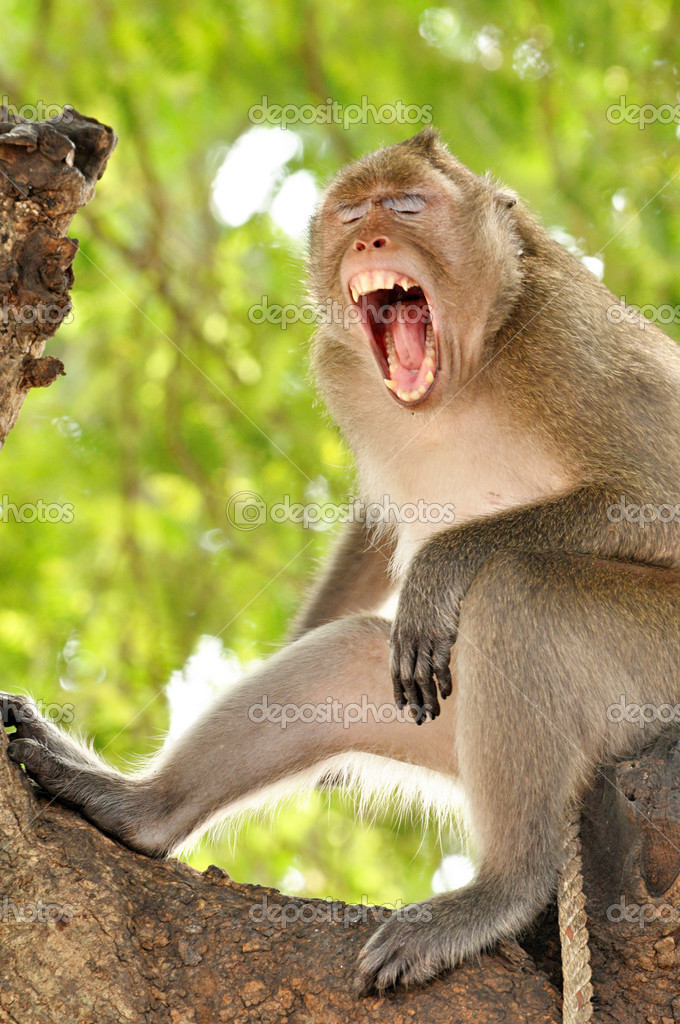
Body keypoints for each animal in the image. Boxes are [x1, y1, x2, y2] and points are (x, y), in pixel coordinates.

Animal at [5, 126, 680, 996]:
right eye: (352, 214)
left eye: (408, 205)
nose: (370, 240)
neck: (472, 365)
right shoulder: (343, 372)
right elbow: (373, 533)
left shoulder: (574, 353)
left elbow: (655, 499)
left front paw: (442, 564)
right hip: (452, 721)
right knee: (360, 654)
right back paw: (139, 810)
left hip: (656, 671)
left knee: (521, 595)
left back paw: (504, 888)